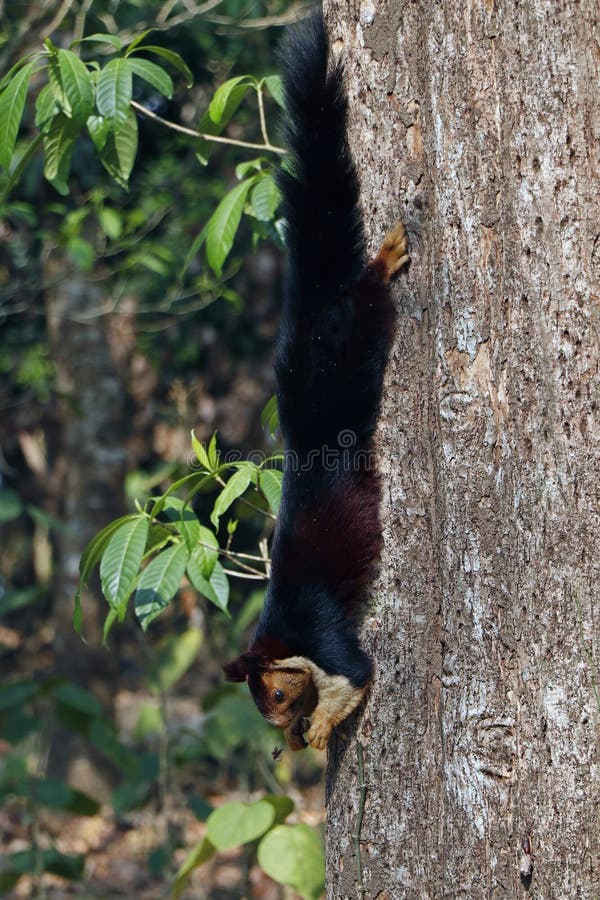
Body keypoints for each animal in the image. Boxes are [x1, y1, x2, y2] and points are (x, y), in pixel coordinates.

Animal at [223, 13, 409, 751]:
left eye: (276, 692)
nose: (281, 726)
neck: (283, 639)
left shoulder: (326, 639)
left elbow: (356, 675)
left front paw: (321, 730)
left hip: (346, 354)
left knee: (365, 305)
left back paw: (384, 260)